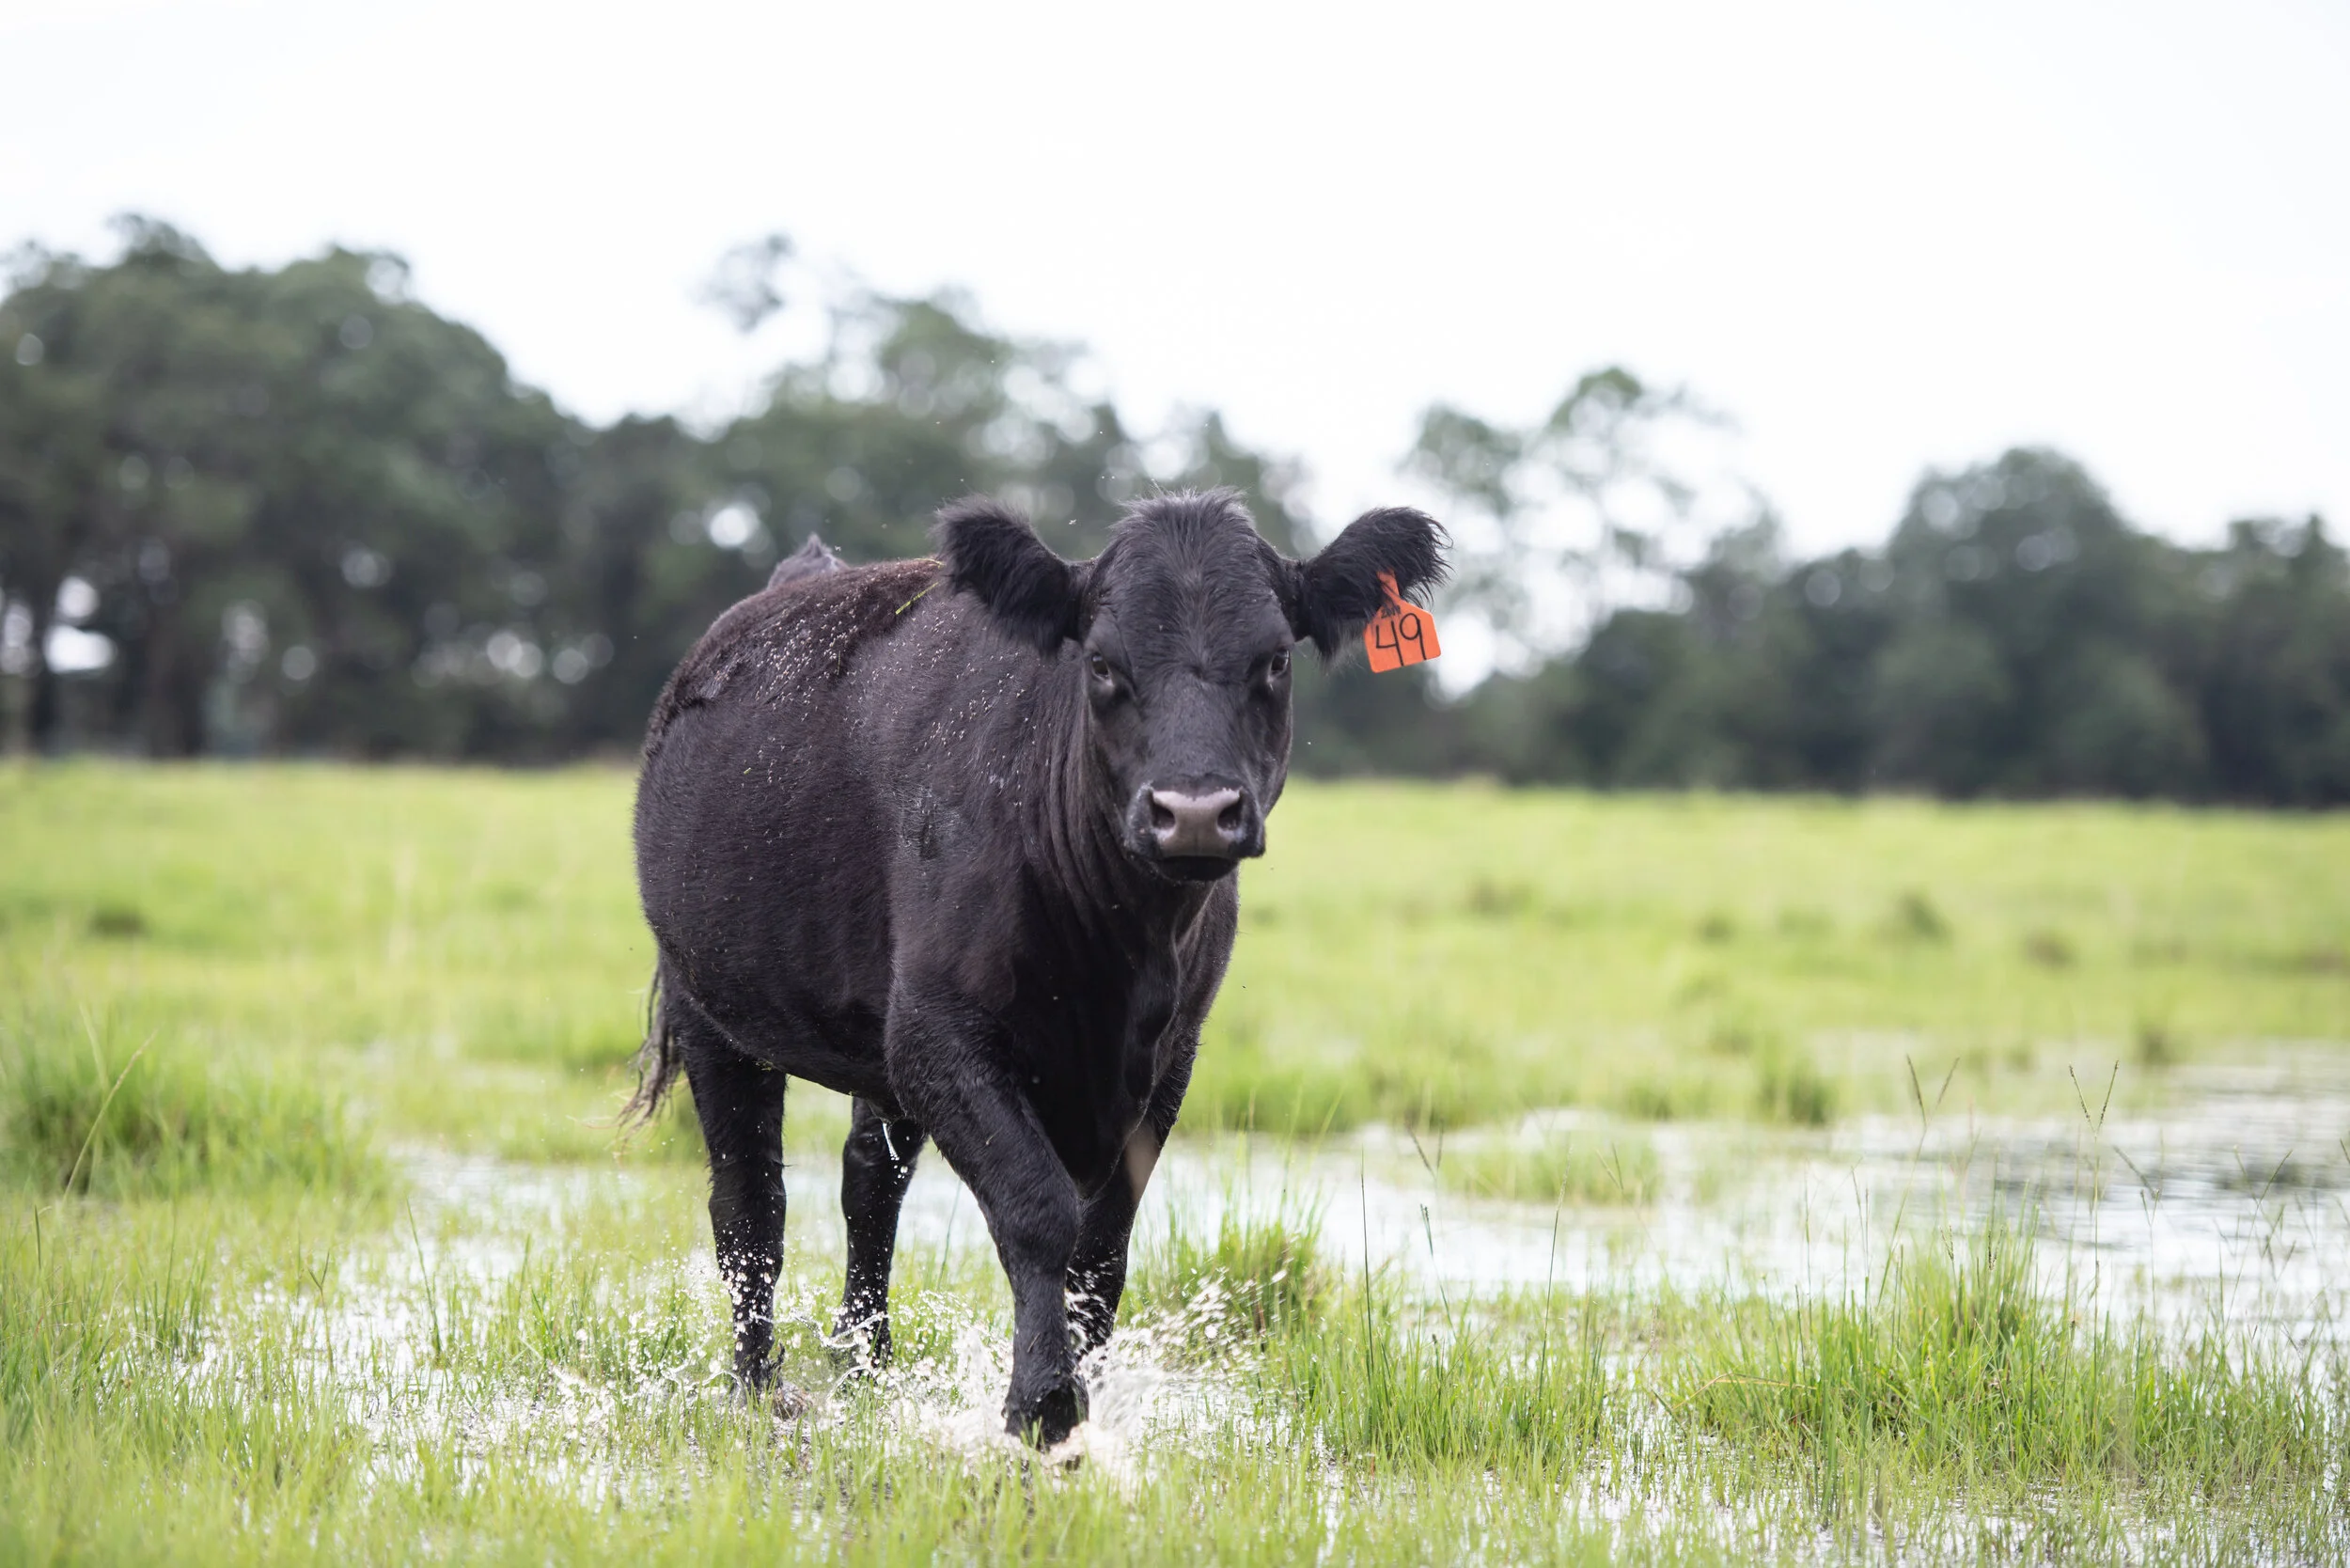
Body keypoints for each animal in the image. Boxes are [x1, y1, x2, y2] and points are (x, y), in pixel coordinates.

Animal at [628, 488, 1445, 1445]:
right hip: (711, 1009)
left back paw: (867, 1366)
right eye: (1101, 662)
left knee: (869, 1182)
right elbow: (1038, 1207)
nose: (1194, 811)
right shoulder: (940, 1033)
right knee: (750, 1205)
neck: (1121, 957)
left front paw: (1082, 1395)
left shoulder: (1167, 1059)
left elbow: (1104, 1245)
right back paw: (759, 1390)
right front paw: (1046, 1406)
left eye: (1275, 659)